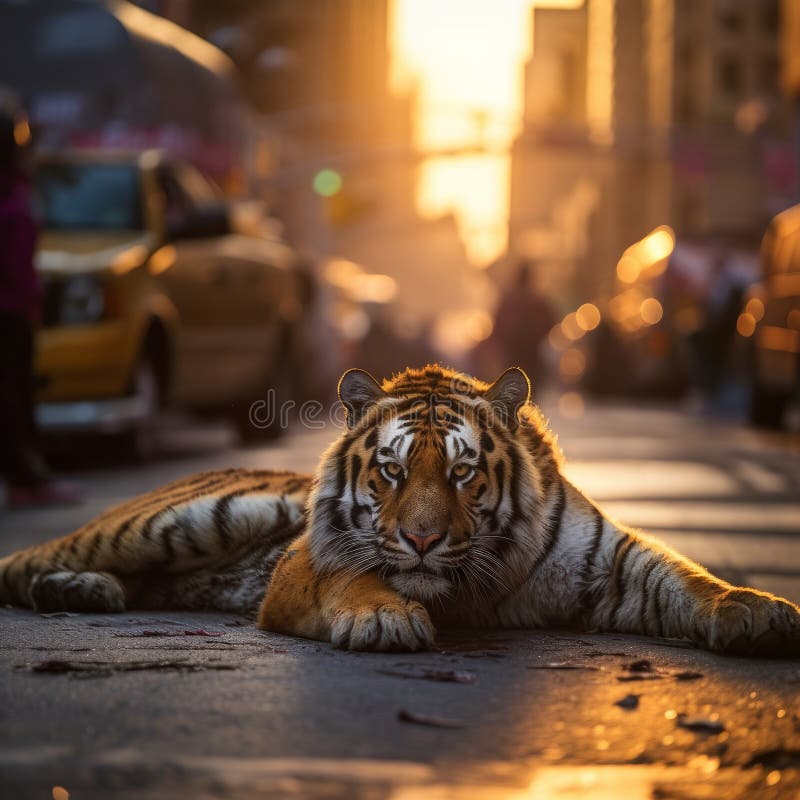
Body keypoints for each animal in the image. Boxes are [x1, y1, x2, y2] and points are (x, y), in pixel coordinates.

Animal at [1, 364, 798, 657]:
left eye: (463, 472)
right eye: (390, 471)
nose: (420, 539)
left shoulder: (614, 563)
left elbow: (685, 580)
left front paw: (756, 610)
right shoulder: (309, 563)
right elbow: (353, 578)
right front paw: (385, 618)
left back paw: (84, 593)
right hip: (184, 520)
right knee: (26, 558)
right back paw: (69, 581)